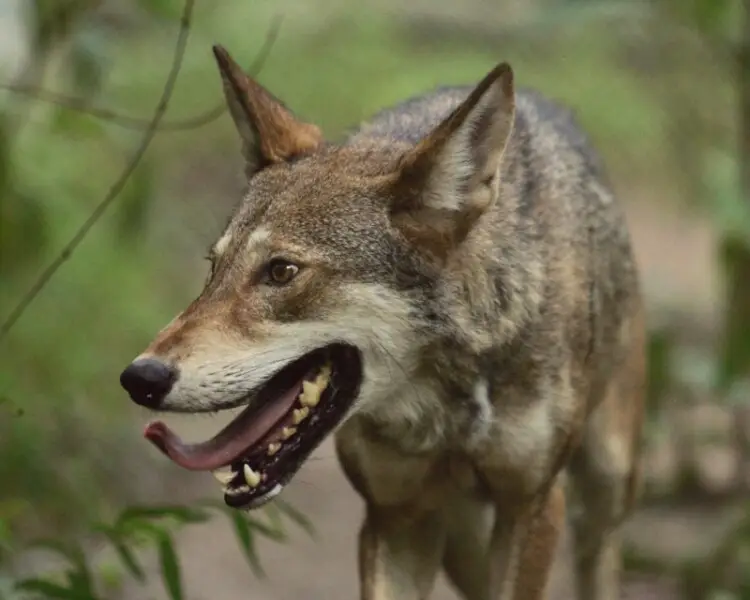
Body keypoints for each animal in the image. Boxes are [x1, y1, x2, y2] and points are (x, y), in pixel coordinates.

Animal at [119, 43, 645, 600]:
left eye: (281, 272)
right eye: (215, 268)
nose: (140, 377)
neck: (449, 398)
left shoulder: (532, 506)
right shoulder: (394, 517)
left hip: (604, 487)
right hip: (460, 538)